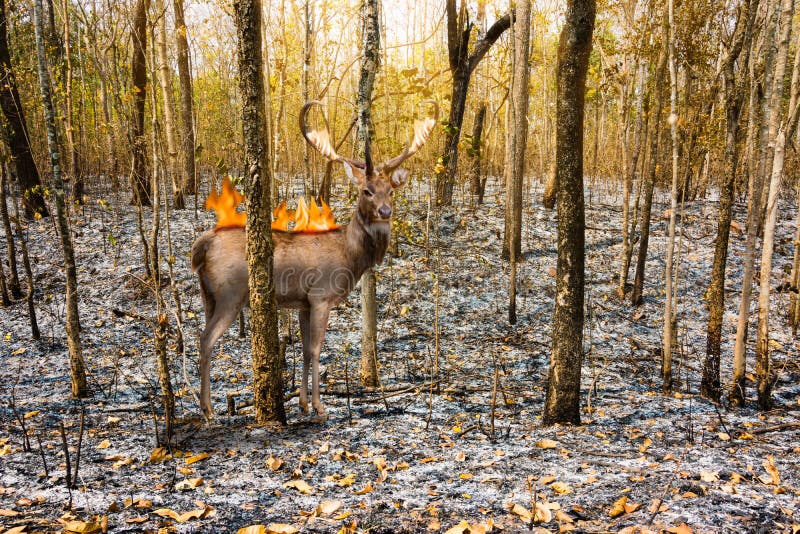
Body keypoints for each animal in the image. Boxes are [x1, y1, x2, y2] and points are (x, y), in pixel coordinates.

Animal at [191, 100, 438, 420]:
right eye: (366, 191)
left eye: (391, 191)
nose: (385, 211)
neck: (350, 255)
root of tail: (202, 244)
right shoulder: (321, 296)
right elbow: (317, 349)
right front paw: (320, 406)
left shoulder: (303, 302)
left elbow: (306, 351)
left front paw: (303, 403)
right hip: (229, 294)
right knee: (206, 339)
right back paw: (207, 408)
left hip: (207, 294)